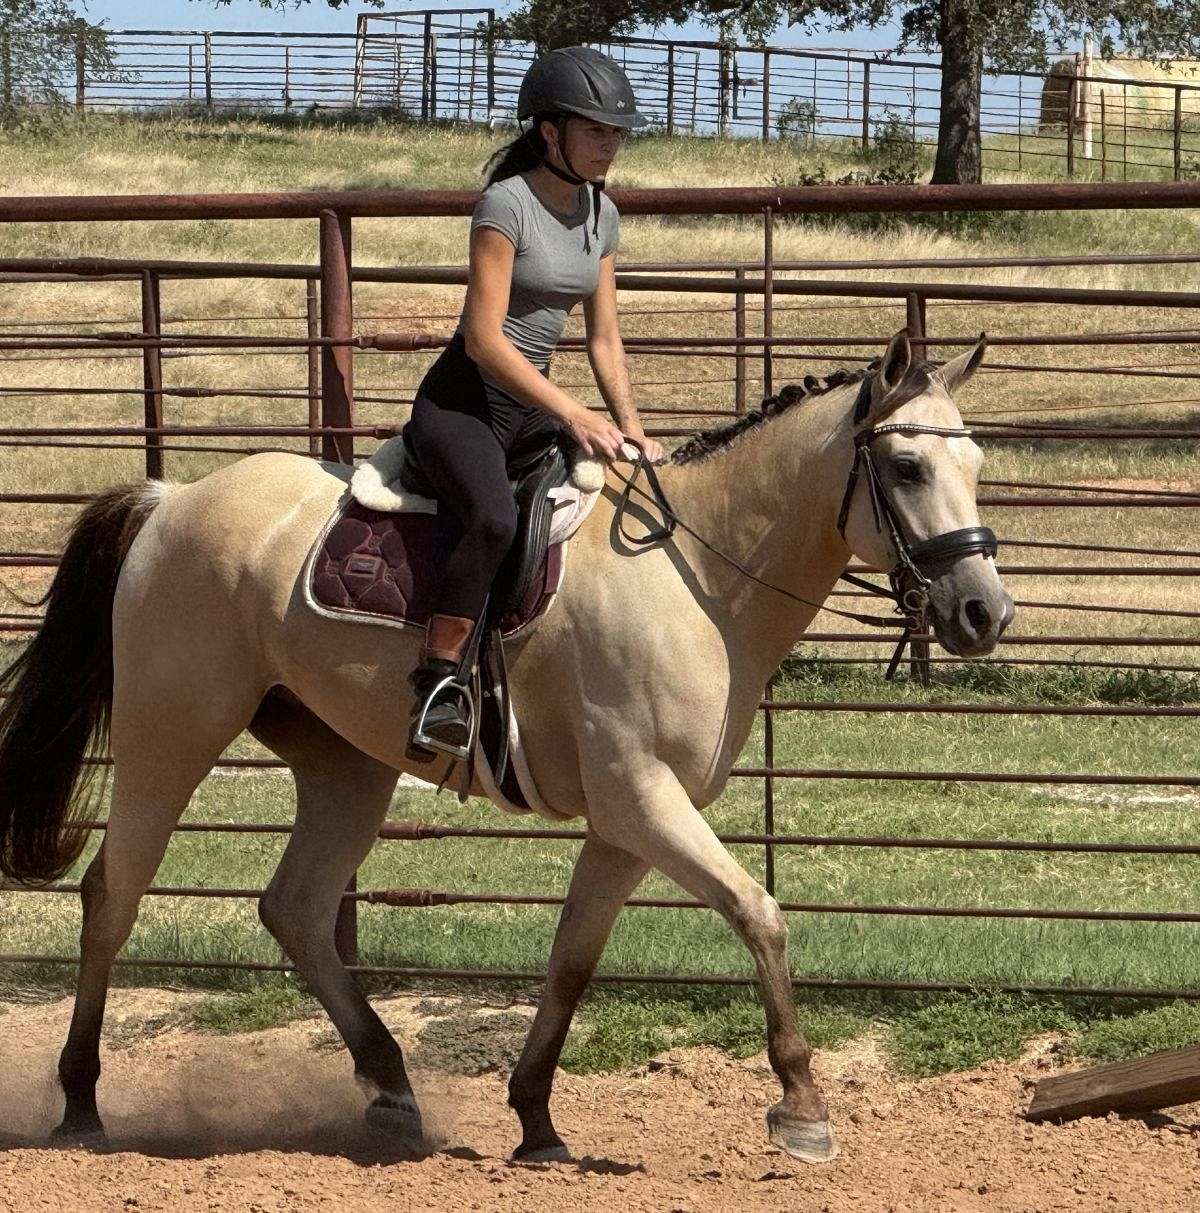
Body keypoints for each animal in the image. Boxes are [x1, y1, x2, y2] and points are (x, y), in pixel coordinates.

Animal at [0, 330, 1011, 1165]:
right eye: (908, 466)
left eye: (975, 462)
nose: (984, 611)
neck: (696, 574)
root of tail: (172, 498)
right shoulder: (645, 801)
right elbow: (758, 912)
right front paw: (802, 1107)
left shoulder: (625, 824)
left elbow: (572, 959)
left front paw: (536, 1119)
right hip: (170, 734)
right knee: (112, 895)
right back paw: (81, 1103)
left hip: (345, 766)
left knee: (296, 908)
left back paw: (392, 1088)